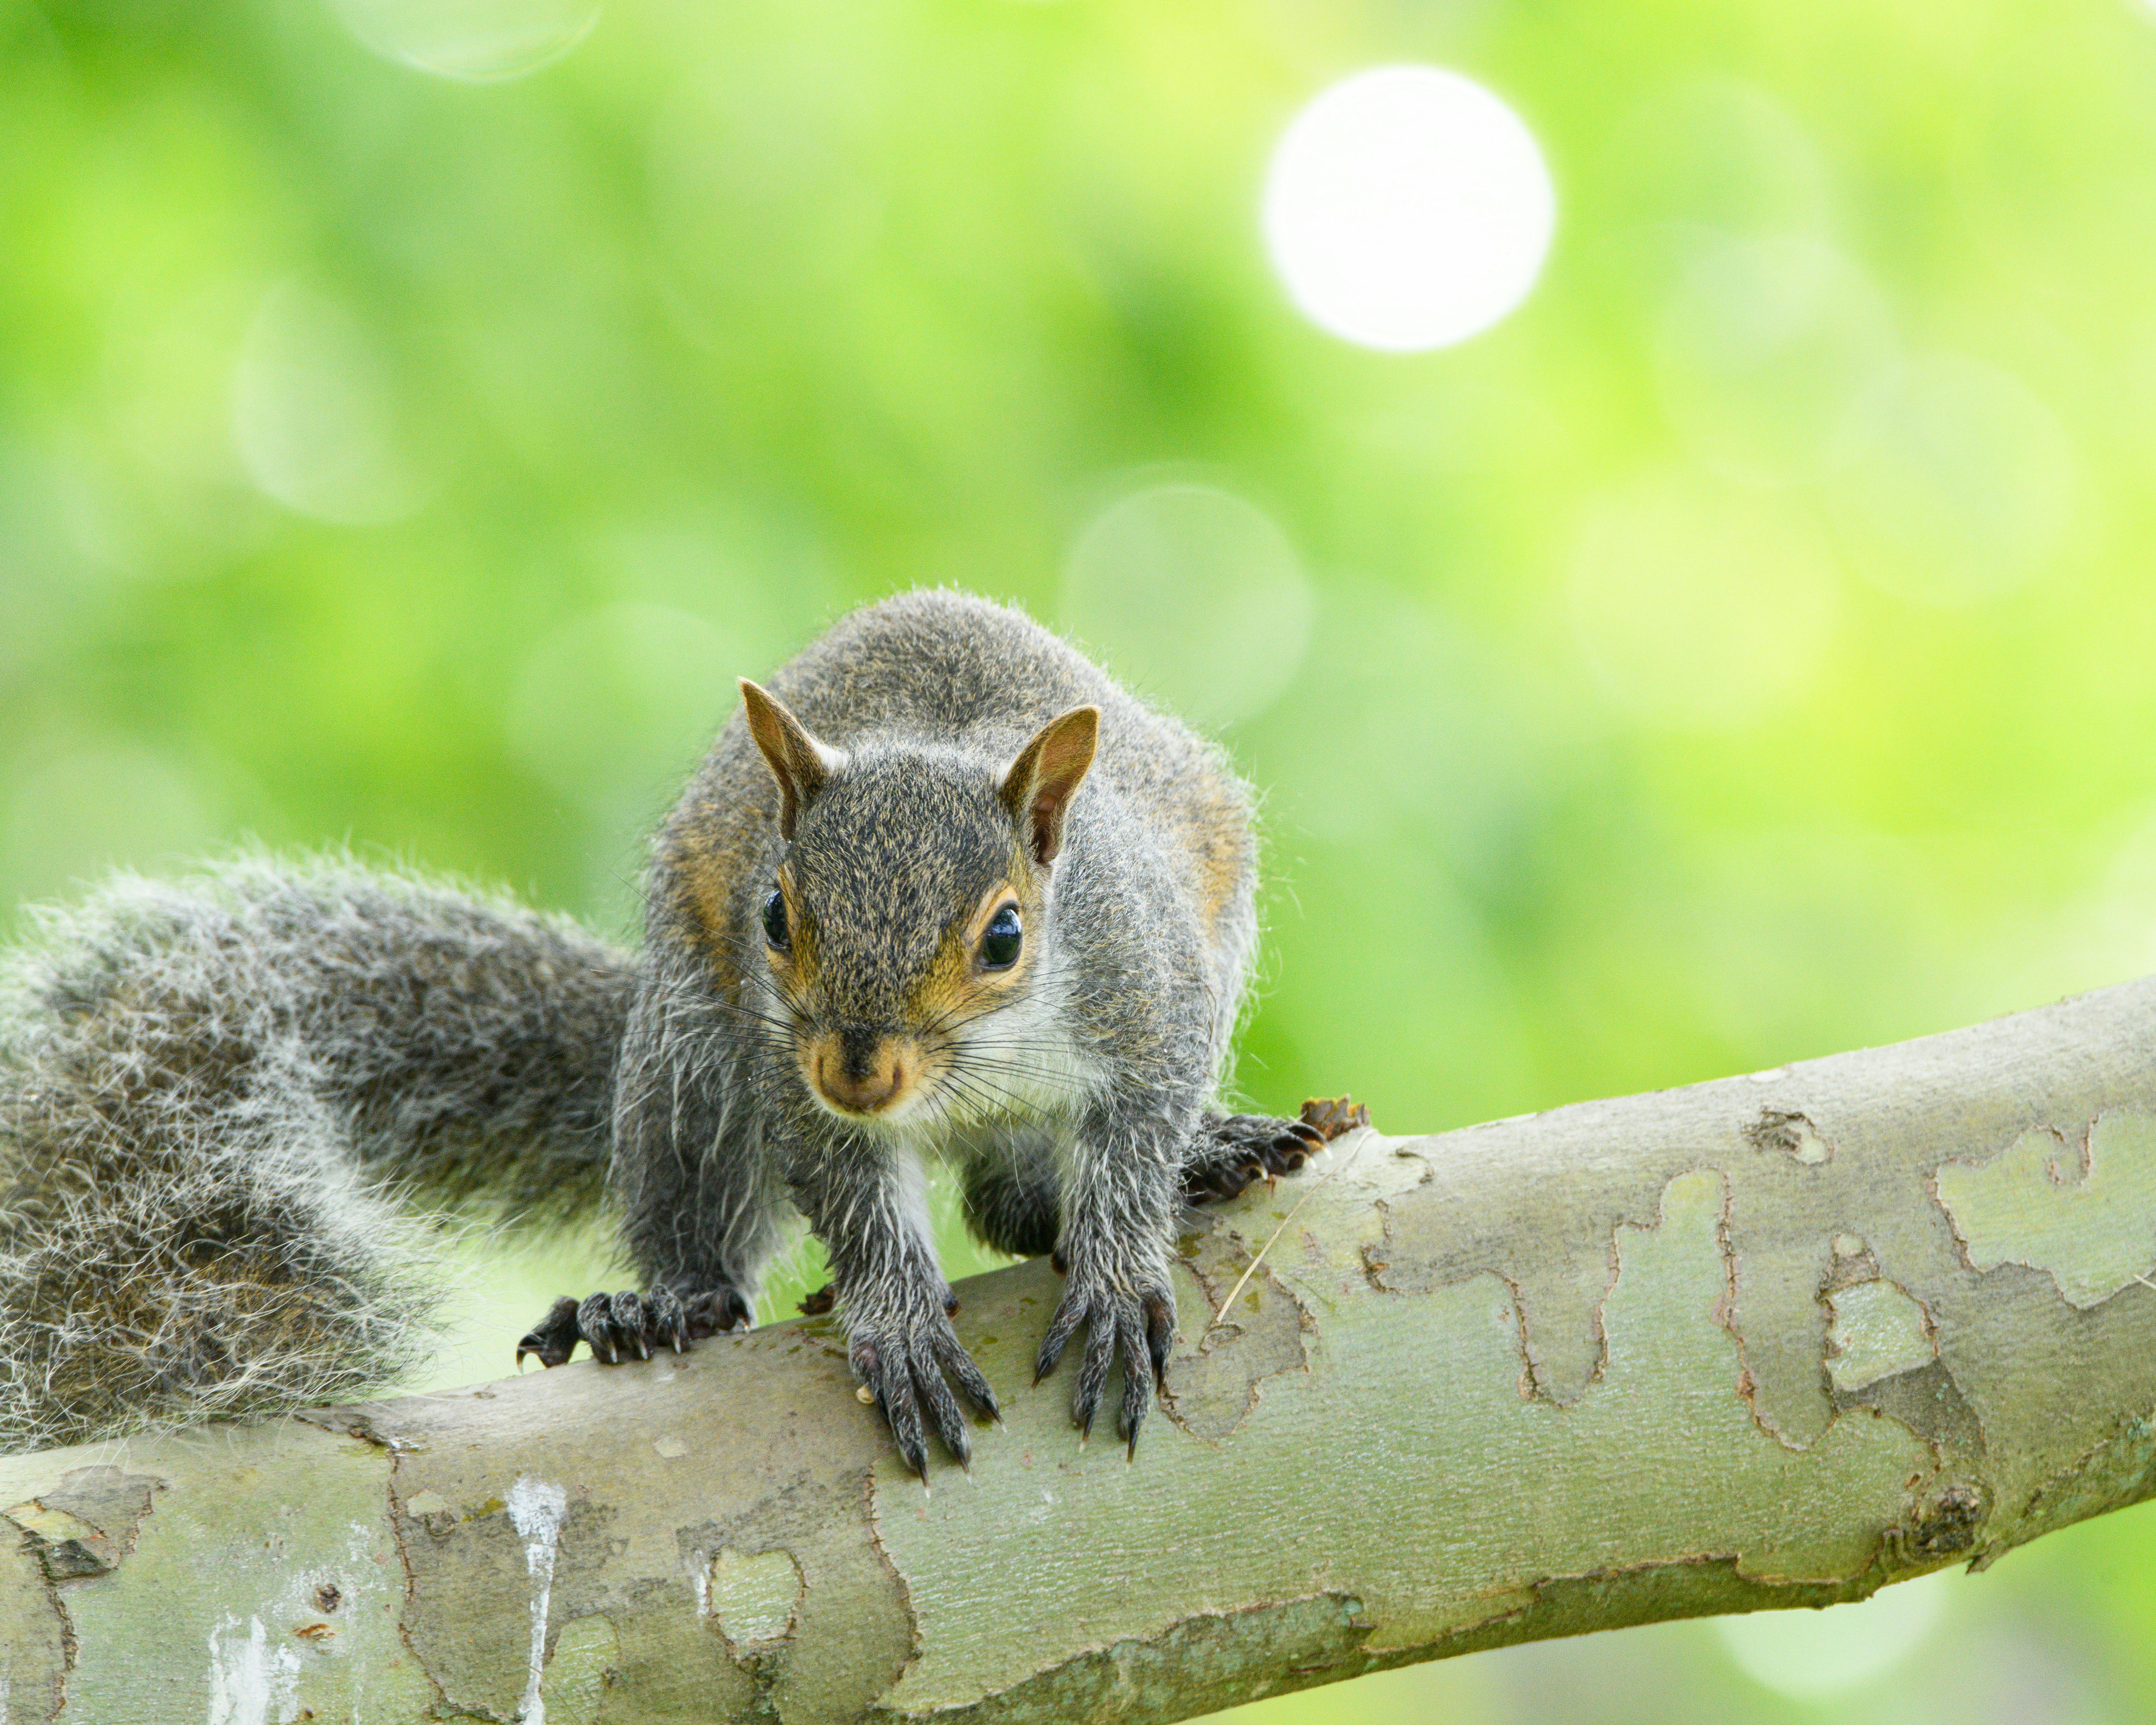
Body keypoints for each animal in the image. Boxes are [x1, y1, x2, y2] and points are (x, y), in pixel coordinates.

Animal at [0, 591, 1330, 1470]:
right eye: (776, 916)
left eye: (1005, 935)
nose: (859, 1068)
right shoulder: (788, 1076)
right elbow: (856, 1204)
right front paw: (897, 1323)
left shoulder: (1149, 998)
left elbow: (1132, 1147)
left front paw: (1115, 1274)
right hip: (690, 1058)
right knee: (736, 1208)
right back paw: (661, 1307)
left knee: (1020, 1202)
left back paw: (1209, 1157)